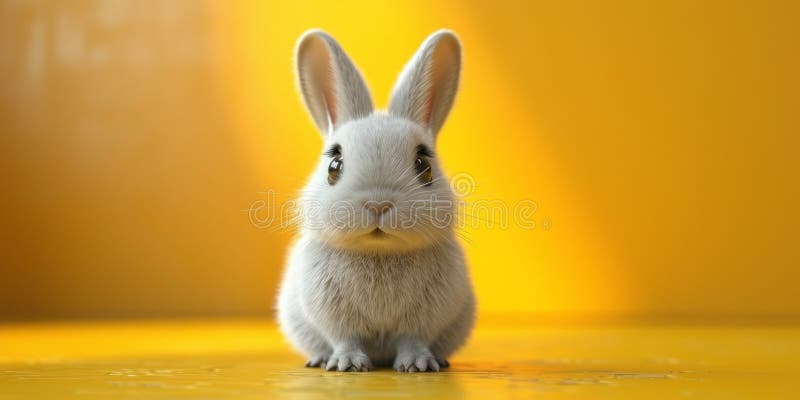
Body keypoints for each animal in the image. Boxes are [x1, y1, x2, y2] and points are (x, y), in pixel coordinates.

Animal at [277, 29, 475, 373]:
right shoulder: (333, 314)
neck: (378, 253)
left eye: (423, 166)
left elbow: (412, 340)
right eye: (334, 166)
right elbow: (346, 338)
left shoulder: (423, 318)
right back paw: (319, 359)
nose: (378, 205)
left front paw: (418, 365)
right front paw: (347, 364)